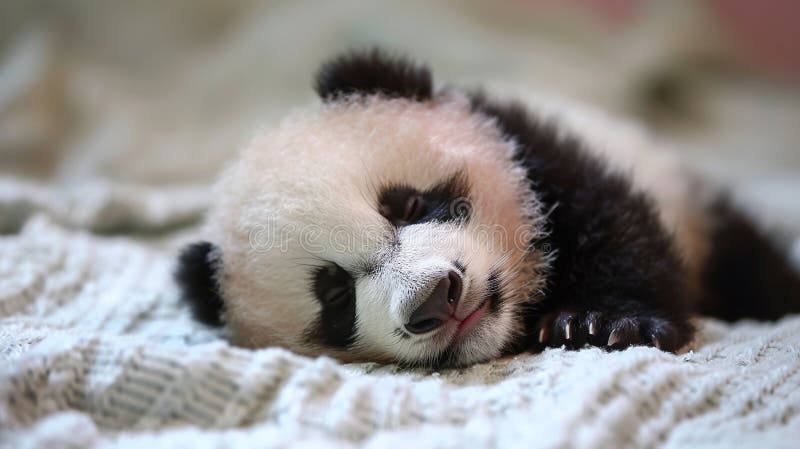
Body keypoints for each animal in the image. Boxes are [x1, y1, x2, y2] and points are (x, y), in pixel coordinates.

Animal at [175, 49, 800, 367]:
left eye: (408, 204)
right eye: (335, 296)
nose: (435, 298)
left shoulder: (531, 149)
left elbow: (610, 226)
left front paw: (602, 322)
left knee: (747, 263)